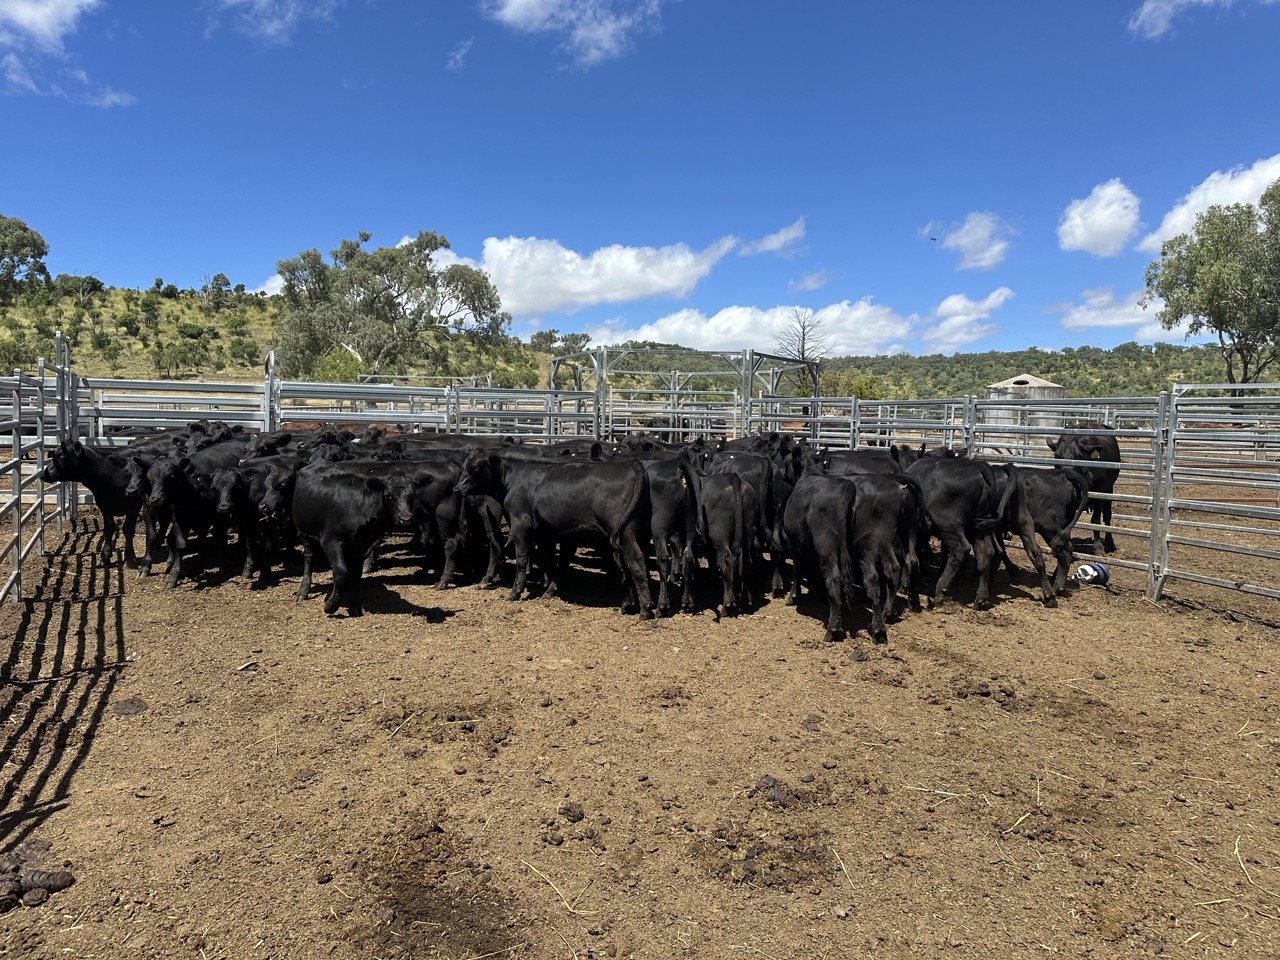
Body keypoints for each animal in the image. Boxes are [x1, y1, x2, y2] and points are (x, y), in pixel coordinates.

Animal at [1048, 422, 1121, 554]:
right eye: (1057, 456)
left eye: (1078, 456)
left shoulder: (1099, 492)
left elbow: (1096, 520)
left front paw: (1098, 548)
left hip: (1109, 489)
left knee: (1107, 516)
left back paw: (1109, 544)